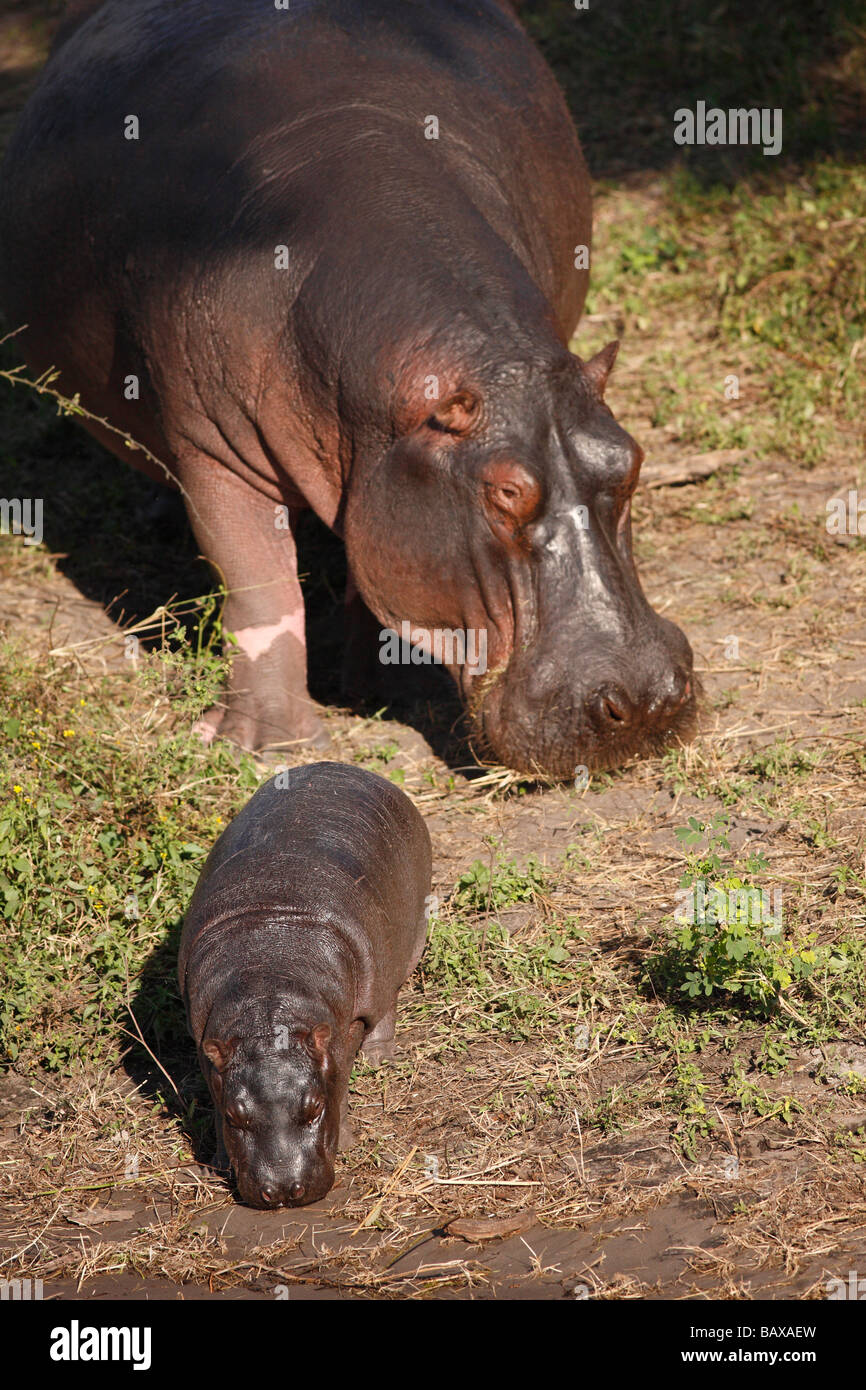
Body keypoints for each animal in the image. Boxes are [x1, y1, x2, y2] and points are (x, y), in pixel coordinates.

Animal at [0, 0, 697, 777]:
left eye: (630, 461)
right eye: (504, 493)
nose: (646, 701)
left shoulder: (388, 467)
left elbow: (374, 558)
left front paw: (378, 688)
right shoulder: (214, 449)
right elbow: (259, 587)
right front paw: (268, 747)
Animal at [178, 761, 432, 1209]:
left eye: (313, 1108)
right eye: (234, 1115)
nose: (282, 1190)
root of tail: (346, 767)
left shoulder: (345, 1029)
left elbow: (341, 1079)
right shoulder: (207, 1041)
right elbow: (212, 1088)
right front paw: (217, 1161)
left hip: (407, 943)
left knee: (389, 1001)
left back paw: (379, 1058)